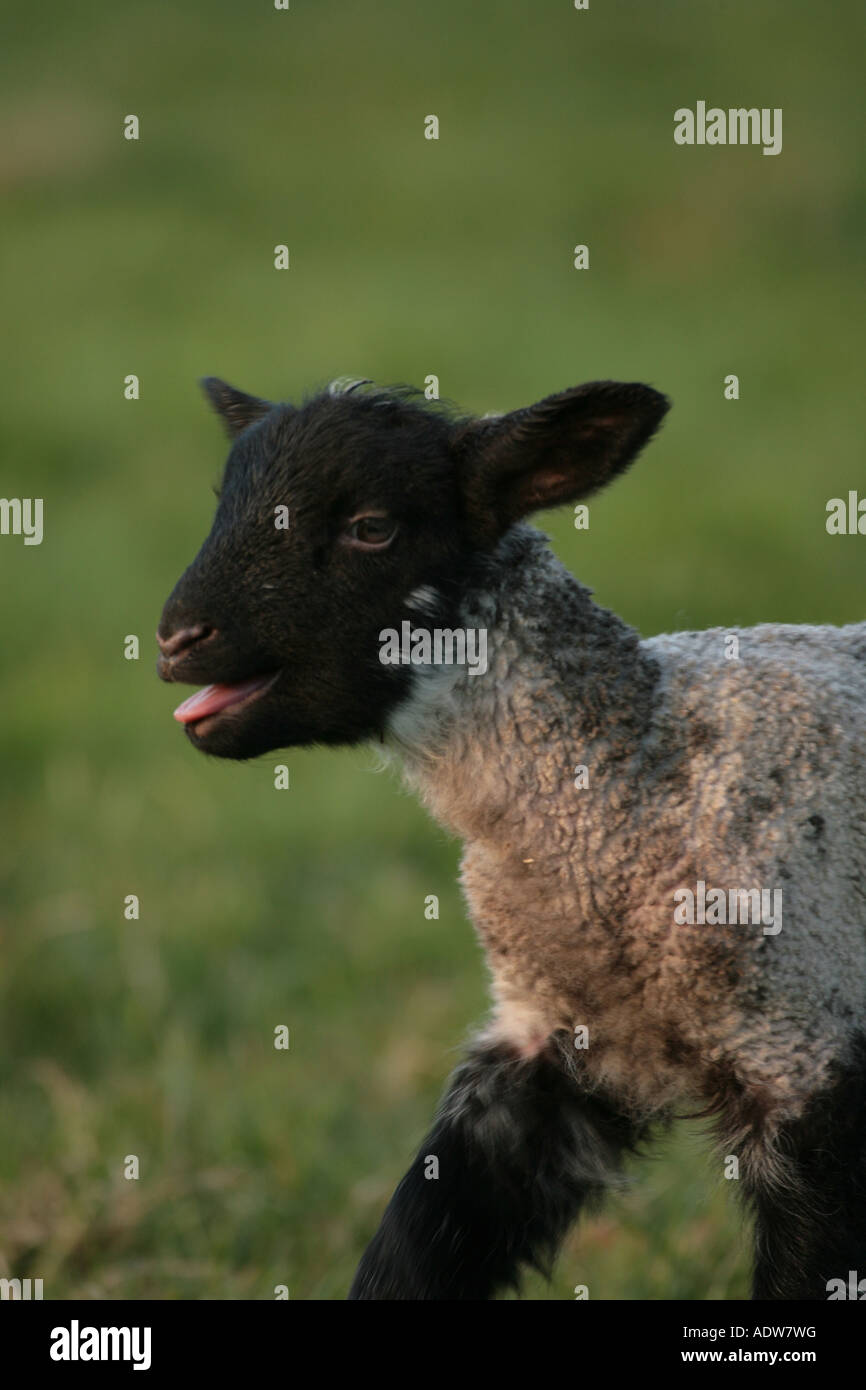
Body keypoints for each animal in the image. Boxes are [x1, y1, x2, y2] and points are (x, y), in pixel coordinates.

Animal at [157, 375, 866, 1301]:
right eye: (224, 504)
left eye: (370, 526)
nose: (176, 640)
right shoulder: (543, 1042)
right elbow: (415, 1246)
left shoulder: (805, 1051)